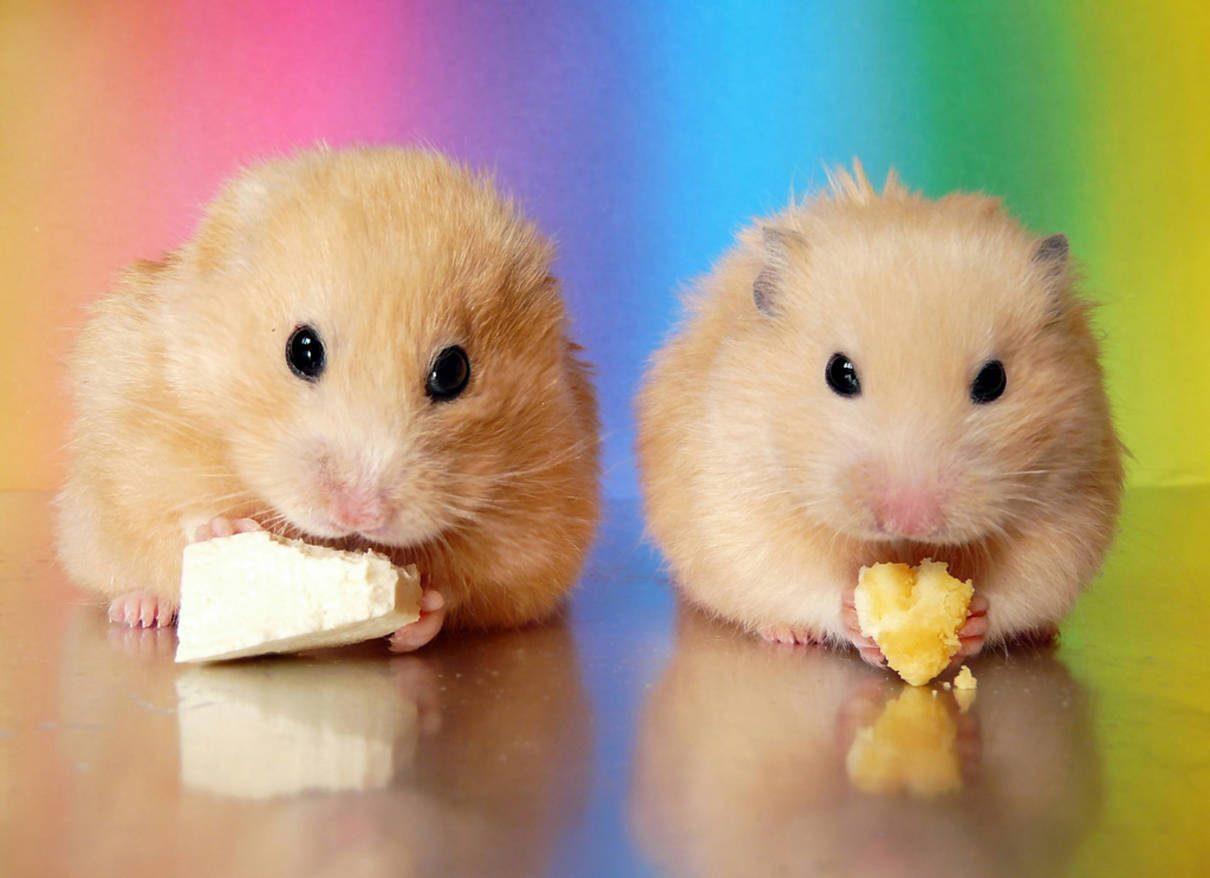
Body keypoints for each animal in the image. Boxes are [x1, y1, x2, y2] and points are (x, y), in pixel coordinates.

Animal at [56, 145, 600, 651]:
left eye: (453, 372)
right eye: (302, 349)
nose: (357, 514)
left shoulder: (543, 514)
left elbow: (470, 584)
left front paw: (419, 611)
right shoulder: (135, 440)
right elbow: (170, 515)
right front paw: (225, 529)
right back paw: (139, 610)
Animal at [636, 163, 1123, 663]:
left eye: (993, 381)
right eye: (839, 373)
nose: (911, 519)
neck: (902, 546)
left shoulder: (1069, 501)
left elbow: (1023, 586)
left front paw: (972, 618)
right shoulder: (740, 493)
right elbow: (794, 576)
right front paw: (855, 616)